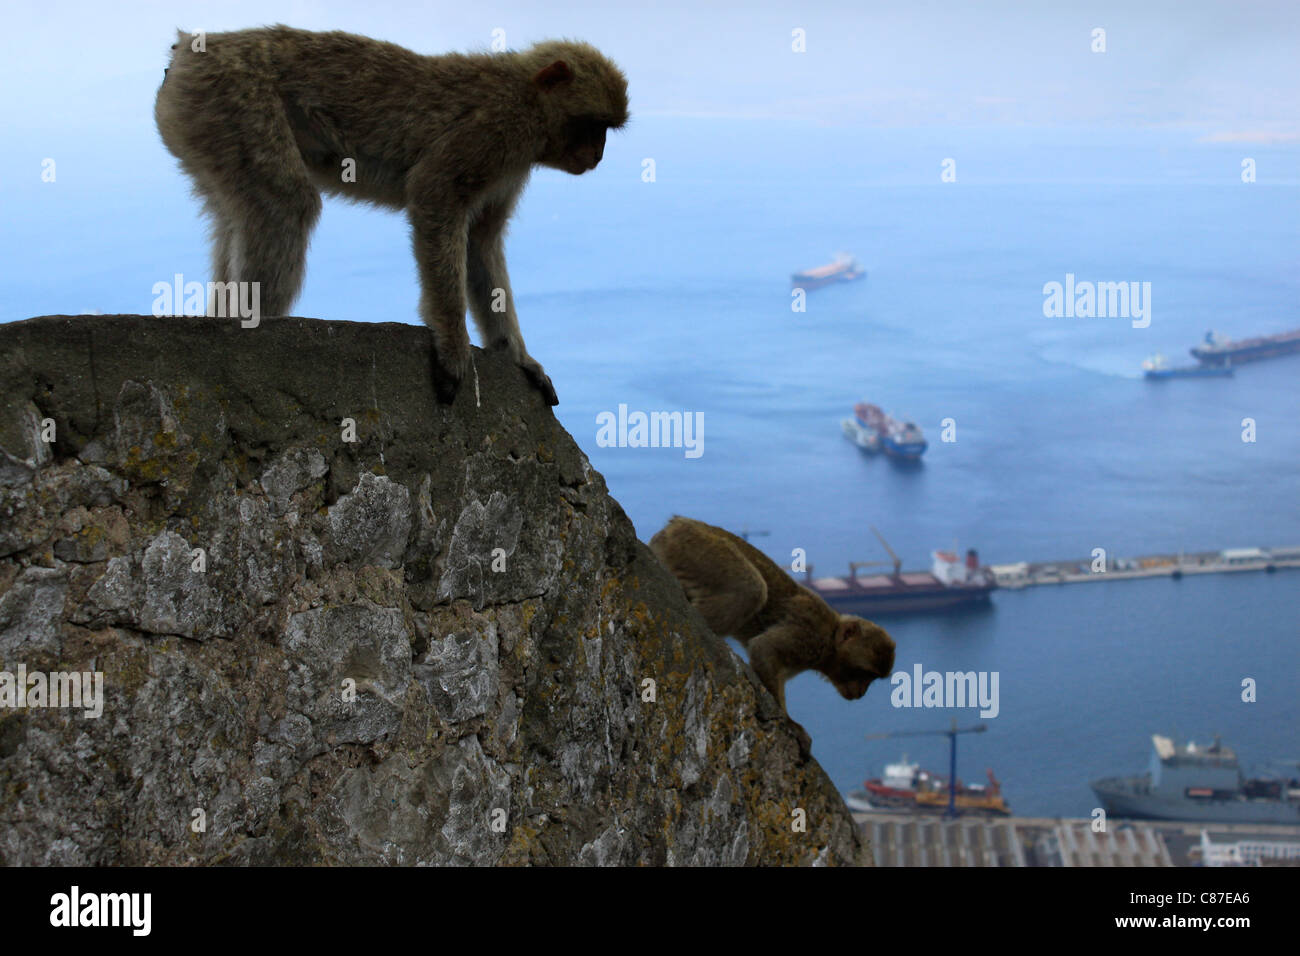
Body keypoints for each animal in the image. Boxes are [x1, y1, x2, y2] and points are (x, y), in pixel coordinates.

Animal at [154, 26, 629, 406]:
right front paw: (452, 344)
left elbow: (481, 240)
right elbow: (434, 195)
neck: (526, 95)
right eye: (592, 126)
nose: (599, 155)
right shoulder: (495, 130)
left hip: (205, 118)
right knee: (285, 200)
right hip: (233, 98)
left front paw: (516, 354)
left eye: (606, 130)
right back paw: (250, 326)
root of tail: (190, 47)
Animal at [650, 516, 896, 751]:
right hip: (698, 546)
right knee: (751, 589)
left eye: (872, 679)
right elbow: (763, 648)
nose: (862, 692)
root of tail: (675, 523)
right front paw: (789, 722)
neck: (830, 639)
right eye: (864, 673)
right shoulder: (807, 638)